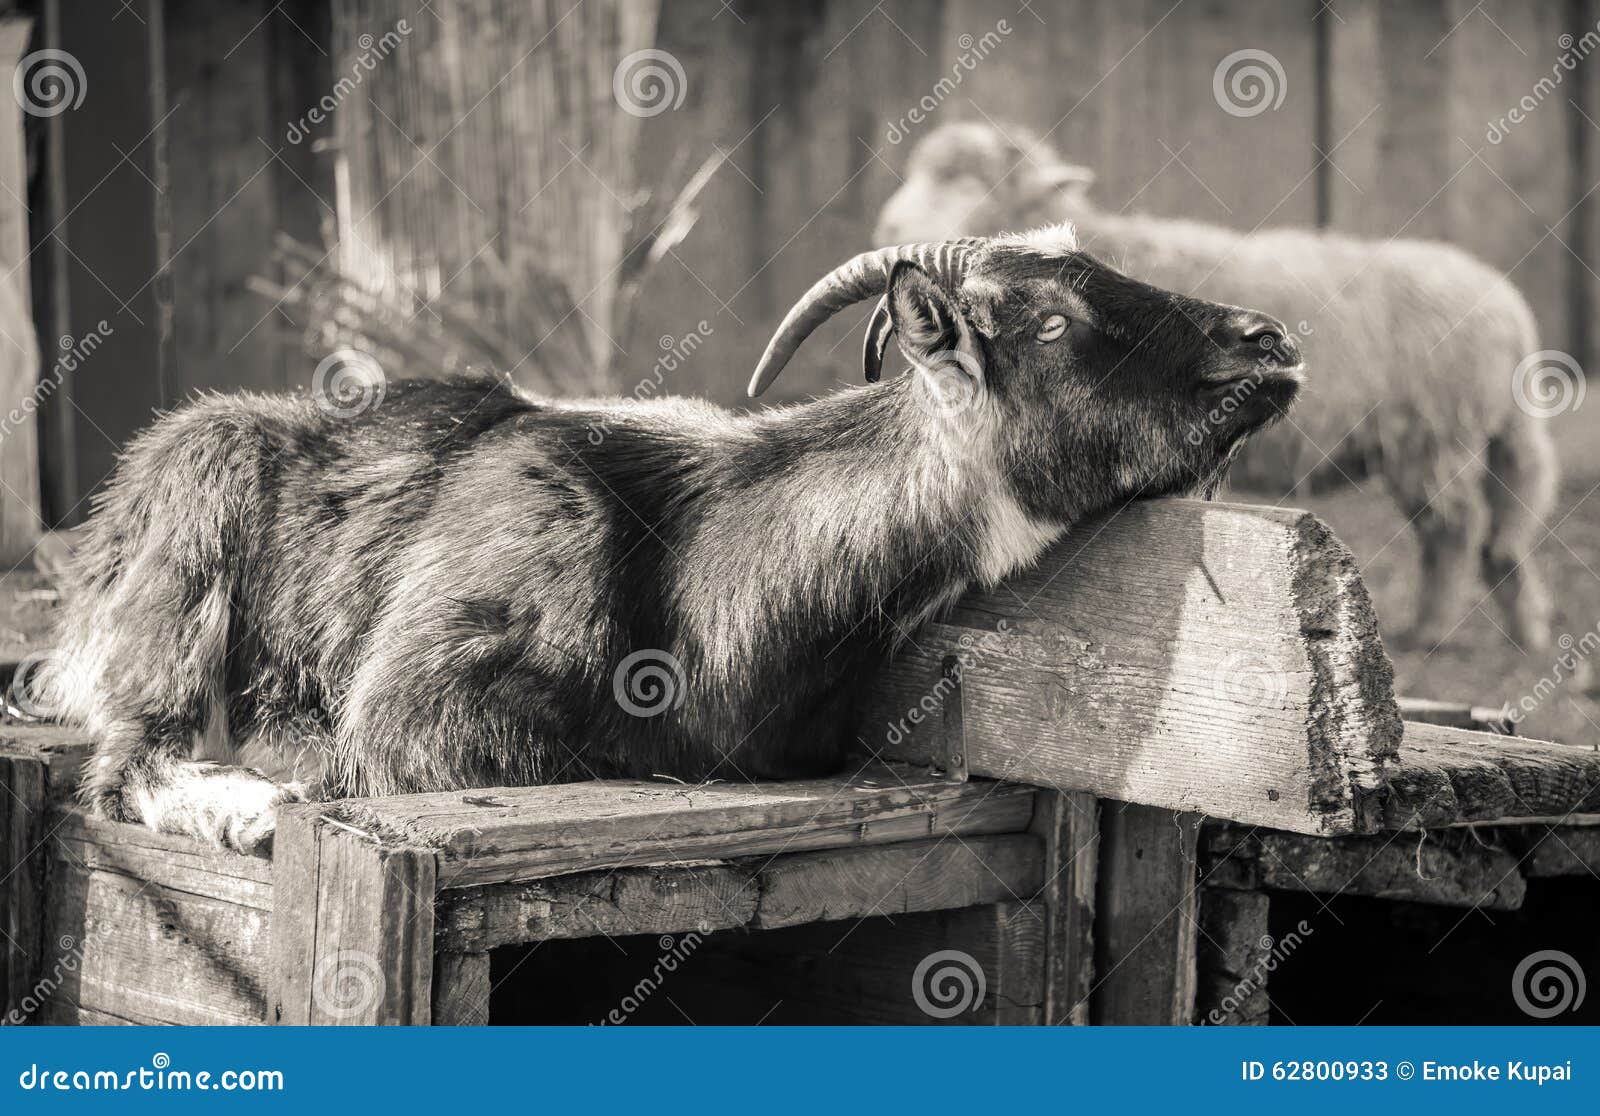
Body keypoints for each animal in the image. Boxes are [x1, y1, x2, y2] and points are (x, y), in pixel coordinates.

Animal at [46, 224, 1301, 852]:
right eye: (1053, 320)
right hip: (188, 569)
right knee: (120, 766)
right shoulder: (416, 711)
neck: (716, 557)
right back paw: (254, 809)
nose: (1270, 340)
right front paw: (291, 784)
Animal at [874, 122, 1558, 653]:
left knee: (1454, 528)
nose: (890, 223)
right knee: (1494, 534)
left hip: (1434, 435)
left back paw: (1432, 629)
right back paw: (1524, 632)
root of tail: (1512, 310)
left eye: (968, 181)